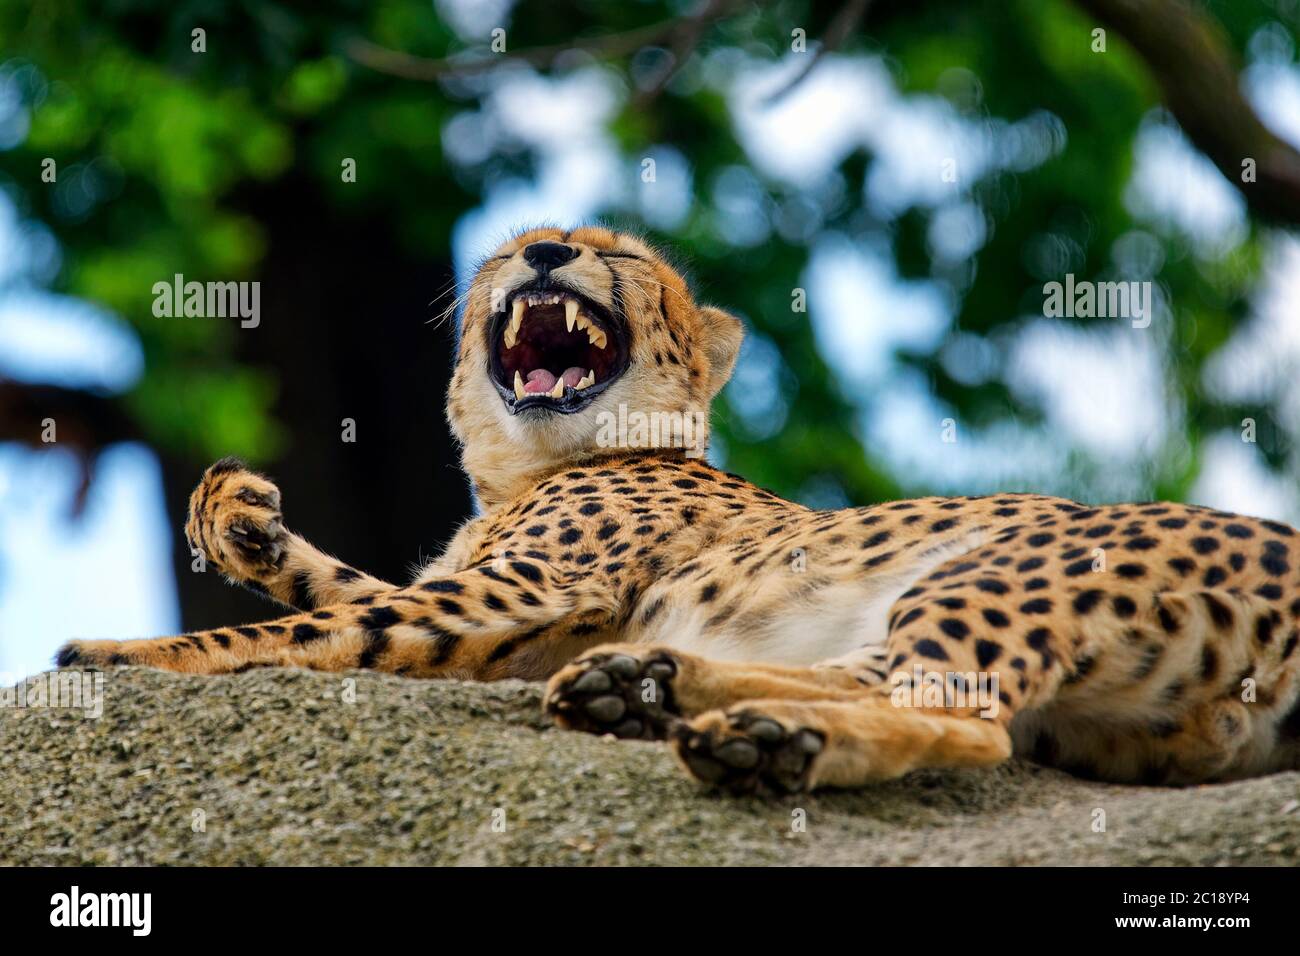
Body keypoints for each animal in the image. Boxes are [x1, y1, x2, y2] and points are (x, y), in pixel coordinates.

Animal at [58, 225, 1300, 794]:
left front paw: (126, 651)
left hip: (1002, 560)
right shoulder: (501, 620)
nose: (545, 250)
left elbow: (312, 622)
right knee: (905, 686)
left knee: (968, 717)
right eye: (511, 248)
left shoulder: (527, 587)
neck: (531, 465)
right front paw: (238, 511)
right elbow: (338, 592)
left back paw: (754, 734)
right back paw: (657, 688)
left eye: (617, 254)